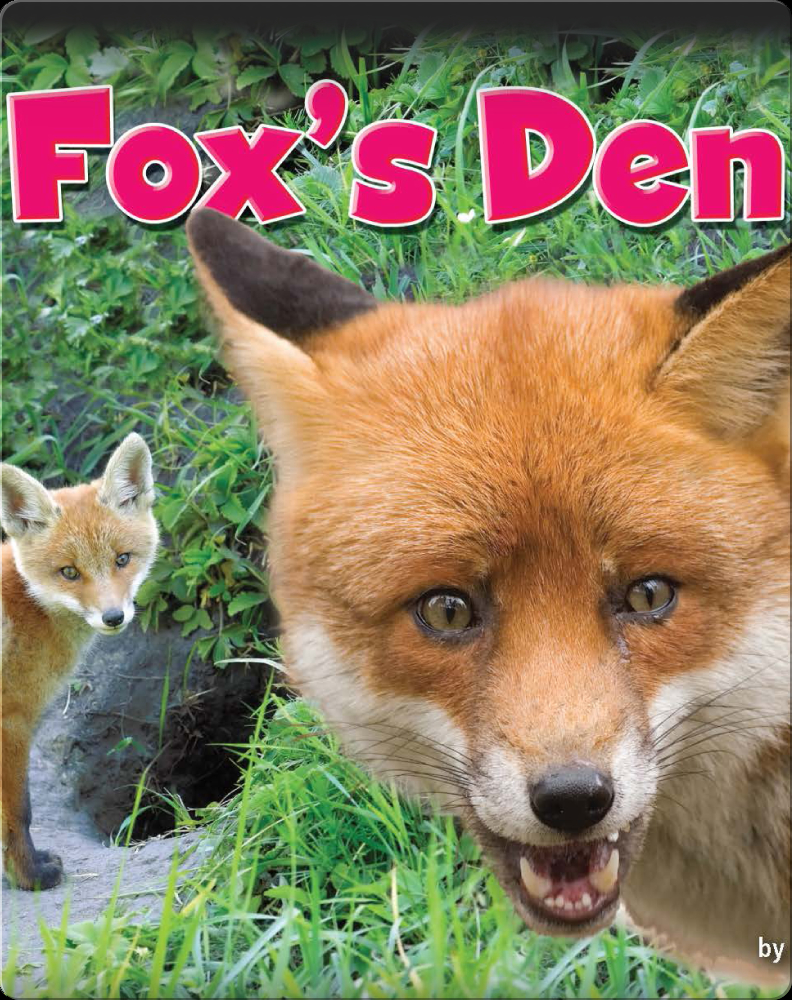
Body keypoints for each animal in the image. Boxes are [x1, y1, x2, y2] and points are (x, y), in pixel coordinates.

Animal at [1, 433, 158, 890]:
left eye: (122, 559)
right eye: (69, 572)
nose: (113, 617)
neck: (26, 607)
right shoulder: (12, 721)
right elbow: (19, 813)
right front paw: (30, 876)